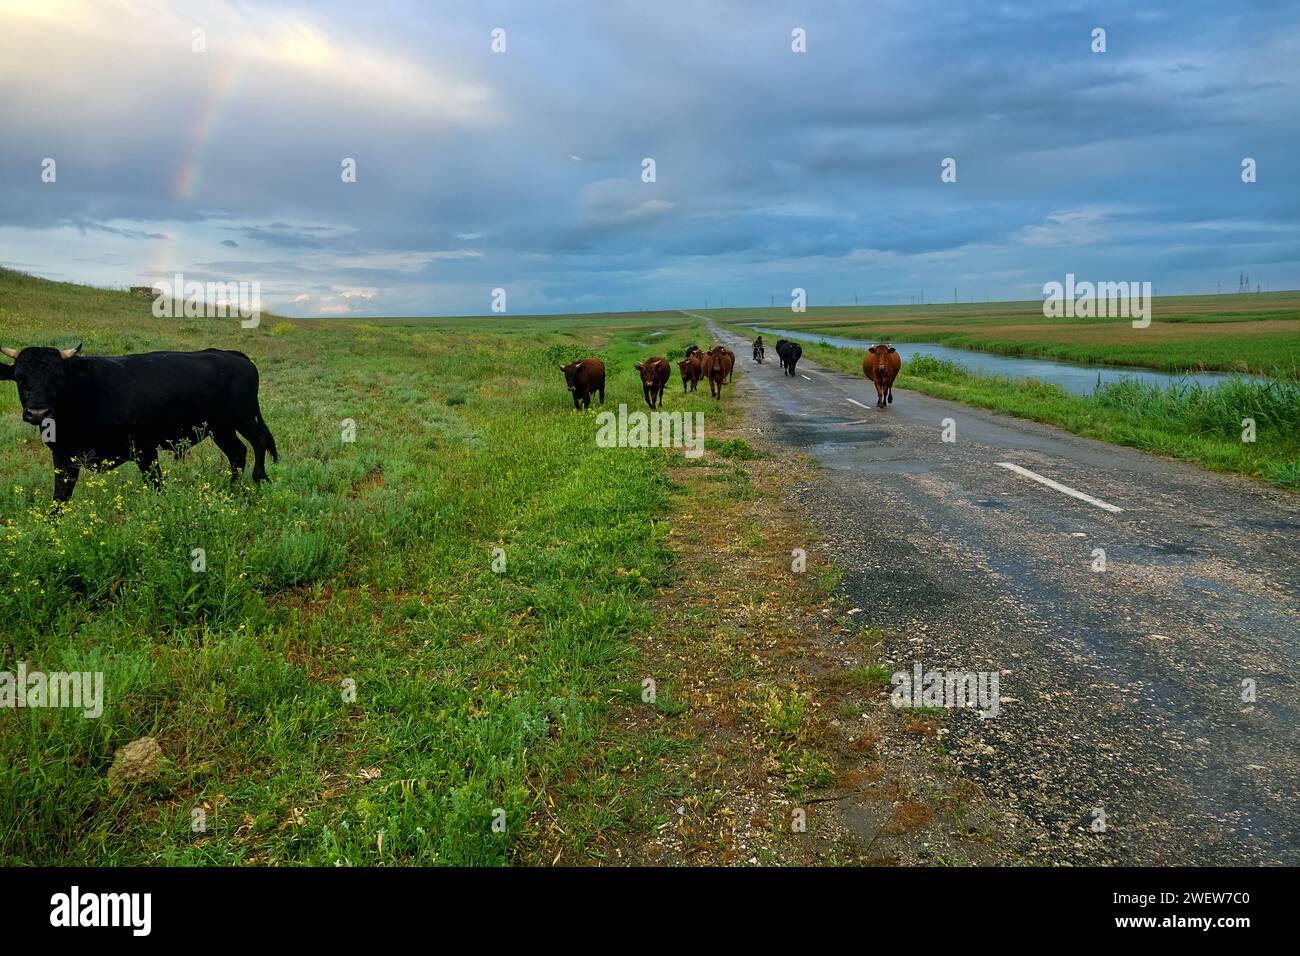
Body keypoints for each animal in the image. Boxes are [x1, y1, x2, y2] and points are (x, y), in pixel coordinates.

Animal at [0, 344, 278, 503]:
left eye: (58, 377)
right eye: (19, 378)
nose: (37, 412)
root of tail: (233, 355)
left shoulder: (145, 449)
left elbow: (156, 486)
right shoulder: (62, 456)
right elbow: (60, 497)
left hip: (242, 417)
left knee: (259, 441)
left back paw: (259, 478)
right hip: (220, 428)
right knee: (237, 452)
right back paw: (231, 489)